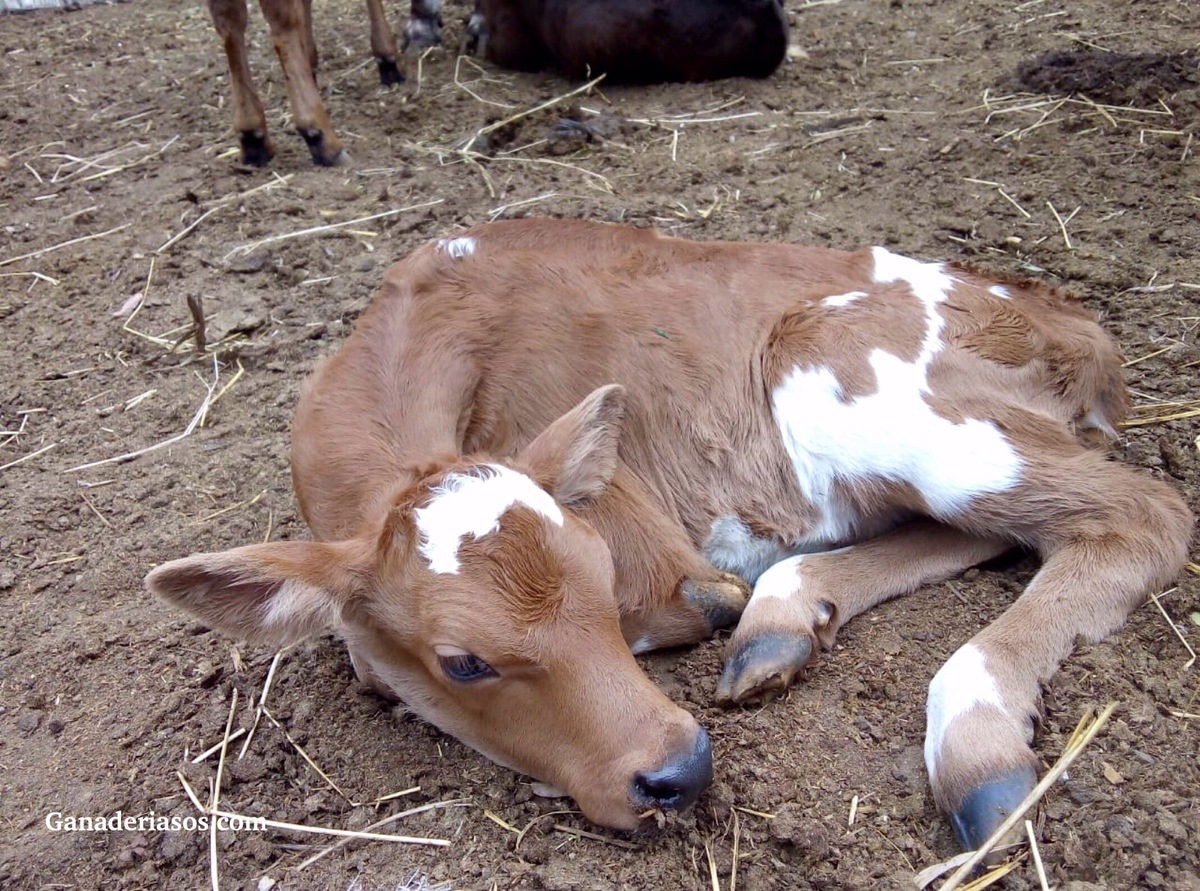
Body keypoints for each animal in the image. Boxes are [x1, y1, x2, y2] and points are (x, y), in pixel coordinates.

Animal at [148, 219, 1193, 847]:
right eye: (464, 662)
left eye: (605, 581)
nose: (681, 771)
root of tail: (1068, 314)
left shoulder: (680, 570)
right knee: (988, 530)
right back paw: (784, 621)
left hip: (851, 375)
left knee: (1137, 511)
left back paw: (977, 745)